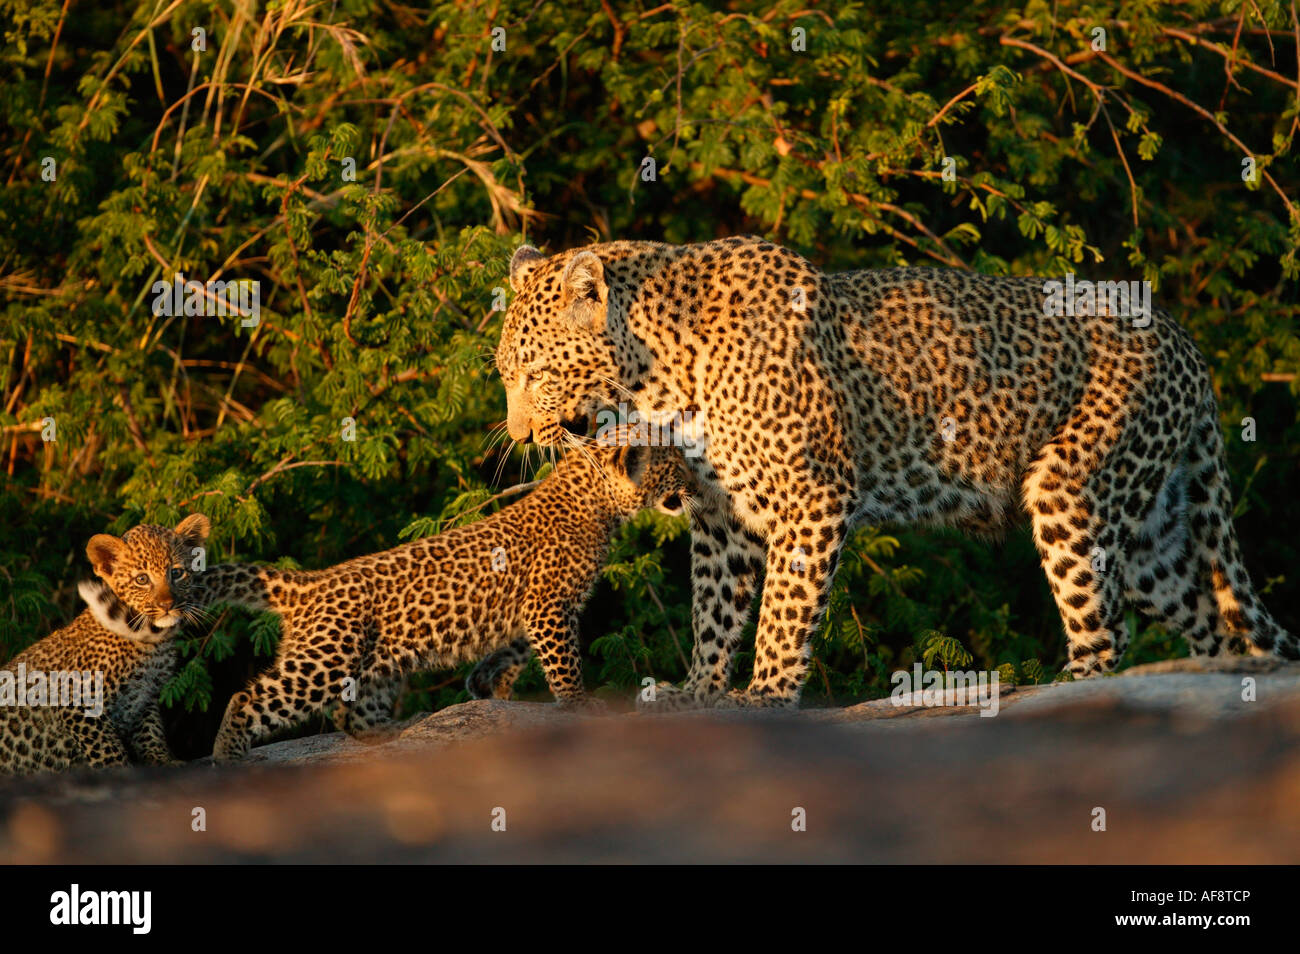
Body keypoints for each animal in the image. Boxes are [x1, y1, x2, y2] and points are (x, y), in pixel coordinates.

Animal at [0, 514, 209, 774]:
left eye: (177, 573)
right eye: (142, 579)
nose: (167, 604)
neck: (153, 645)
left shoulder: (143, 700)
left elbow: (151, 733)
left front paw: (164, 760)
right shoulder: (77, 702)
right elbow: (108, 751)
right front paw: (122, 772)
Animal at [202, 438, 688, 761]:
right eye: (675, 468)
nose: (695, 483)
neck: (597, 502)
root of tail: (310, 583)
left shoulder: (529, 610)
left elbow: (514, 651)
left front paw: (488, 686)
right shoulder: (549, 603)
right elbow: (562, 659)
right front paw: (578, 702)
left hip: (376, 663)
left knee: (352, 713)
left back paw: (393, 732)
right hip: (326, 658)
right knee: (251, 697)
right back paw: (228, 755)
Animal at [496, 235, 1298, 710]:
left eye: (536, 373)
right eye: (505, 374)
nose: (522, 434)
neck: (656, 372)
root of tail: (1185, 338)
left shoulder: (812, 497)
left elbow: (783, 610)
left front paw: (767, 694)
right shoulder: (722, 515)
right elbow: (714, 608)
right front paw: (699, 690)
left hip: (1073, 487)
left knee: (1108, 628)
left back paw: (1066, 689)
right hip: (1152, 529)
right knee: (1211, 623)